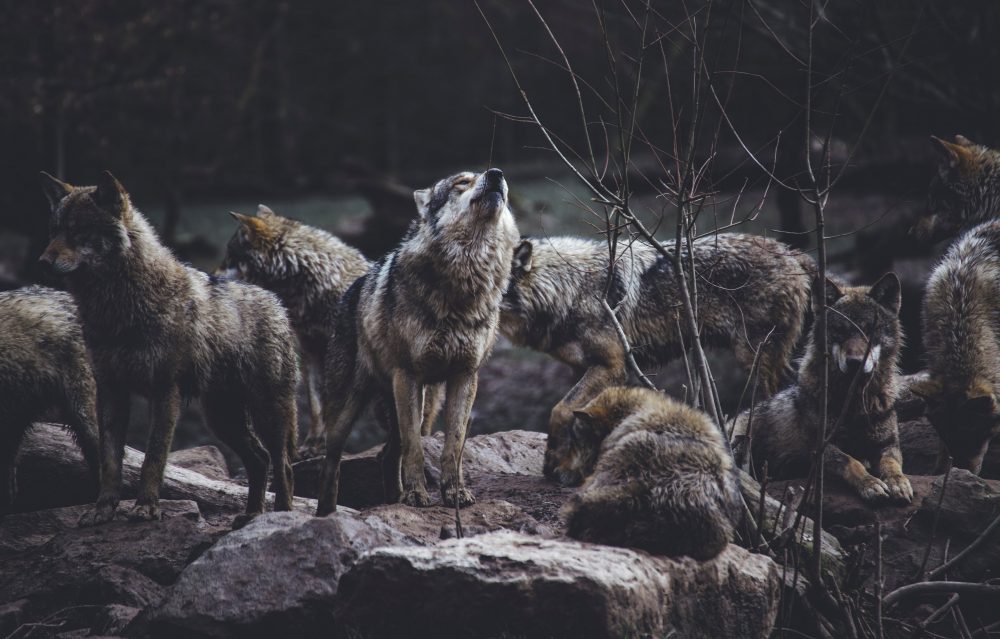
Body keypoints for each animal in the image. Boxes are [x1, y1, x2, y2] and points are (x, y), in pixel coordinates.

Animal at [39, 171, 298, 526]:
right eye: (54, 231)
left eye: (78, 230)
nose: (43, 261)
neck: (118, 307)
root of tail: (276, 302)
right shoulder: (110, 391)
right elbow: (109, 462)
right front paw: (103, 510)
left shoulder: (165, 391)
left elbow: (153, 458)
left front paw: (146, 508)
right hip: (221, 419)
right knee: (259, 459)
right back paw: (251, 516)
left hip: (266, 412)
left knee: (282, 463)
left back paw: (279, 517)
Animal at [315, 168, 520, 515]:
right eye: (461, 182)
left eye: (489, 174)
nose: (496, 174)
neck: (465, 280)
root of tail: (353, 288)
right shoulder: (408, 375)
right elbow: (415, 449)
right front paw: (416, 495)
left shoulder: (465, 376)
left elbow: (454, 445)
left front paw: (454, 493)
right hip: (350, 409)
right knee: (332, 462)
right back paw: (326, 514)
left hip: (419, 401)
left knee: (386, 455)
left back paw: (392, 500)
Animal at [501, 233, 812, 479]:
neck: (568, 288)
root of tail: (791, 252)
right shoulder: (583, 369)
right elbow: (577, 417)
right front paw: (568, 465)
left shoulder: (611, 365)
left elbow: (560, 409)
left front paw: (553, 461)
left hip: (754, 359)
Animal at [730, 273, 913, 502]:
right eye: (840, 331)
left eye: (869, 330)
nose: (855, 362)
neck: (853, 403)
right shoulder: (820, 448)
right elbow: (852, 462)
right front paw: (870, 484)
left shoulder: (888, 444)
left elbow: (892, 464)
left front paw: (898, 482)